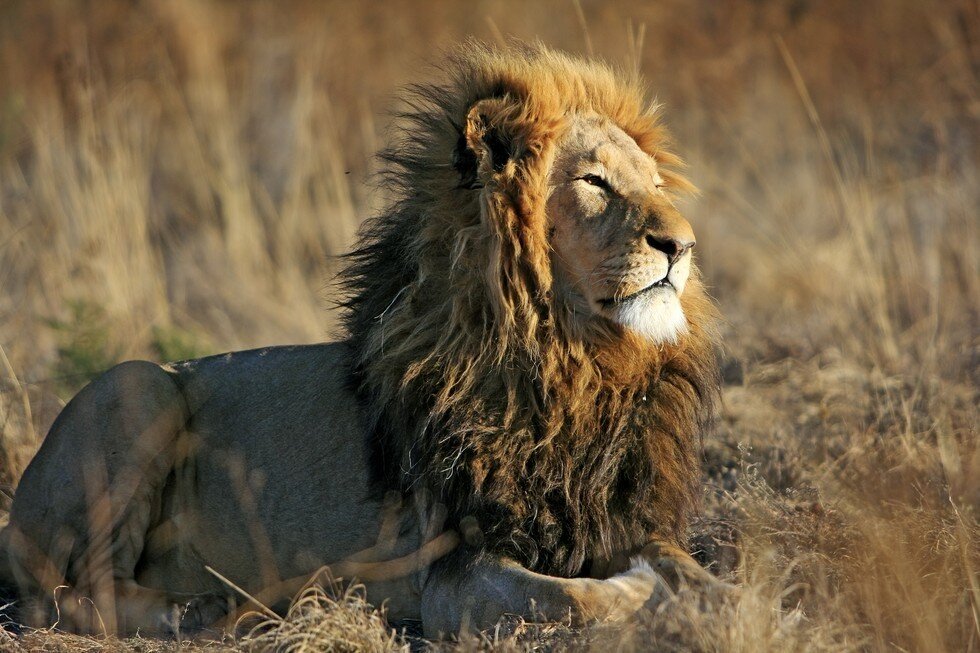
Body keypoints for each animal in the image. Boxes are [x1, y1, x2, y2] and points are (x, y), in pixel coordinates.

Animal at [0, 42, 722, 637]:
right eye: (594, 182)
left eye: (655, 185)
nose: (683, 245)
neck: (575, 363)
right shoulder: (451, 574)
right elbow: (569, 596)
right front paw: (640, 594)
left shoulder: (607, 513)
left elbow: (695, 569)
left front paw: (723, 595)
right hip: (138, 385)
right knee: (67, 594)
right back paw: (205, 609)